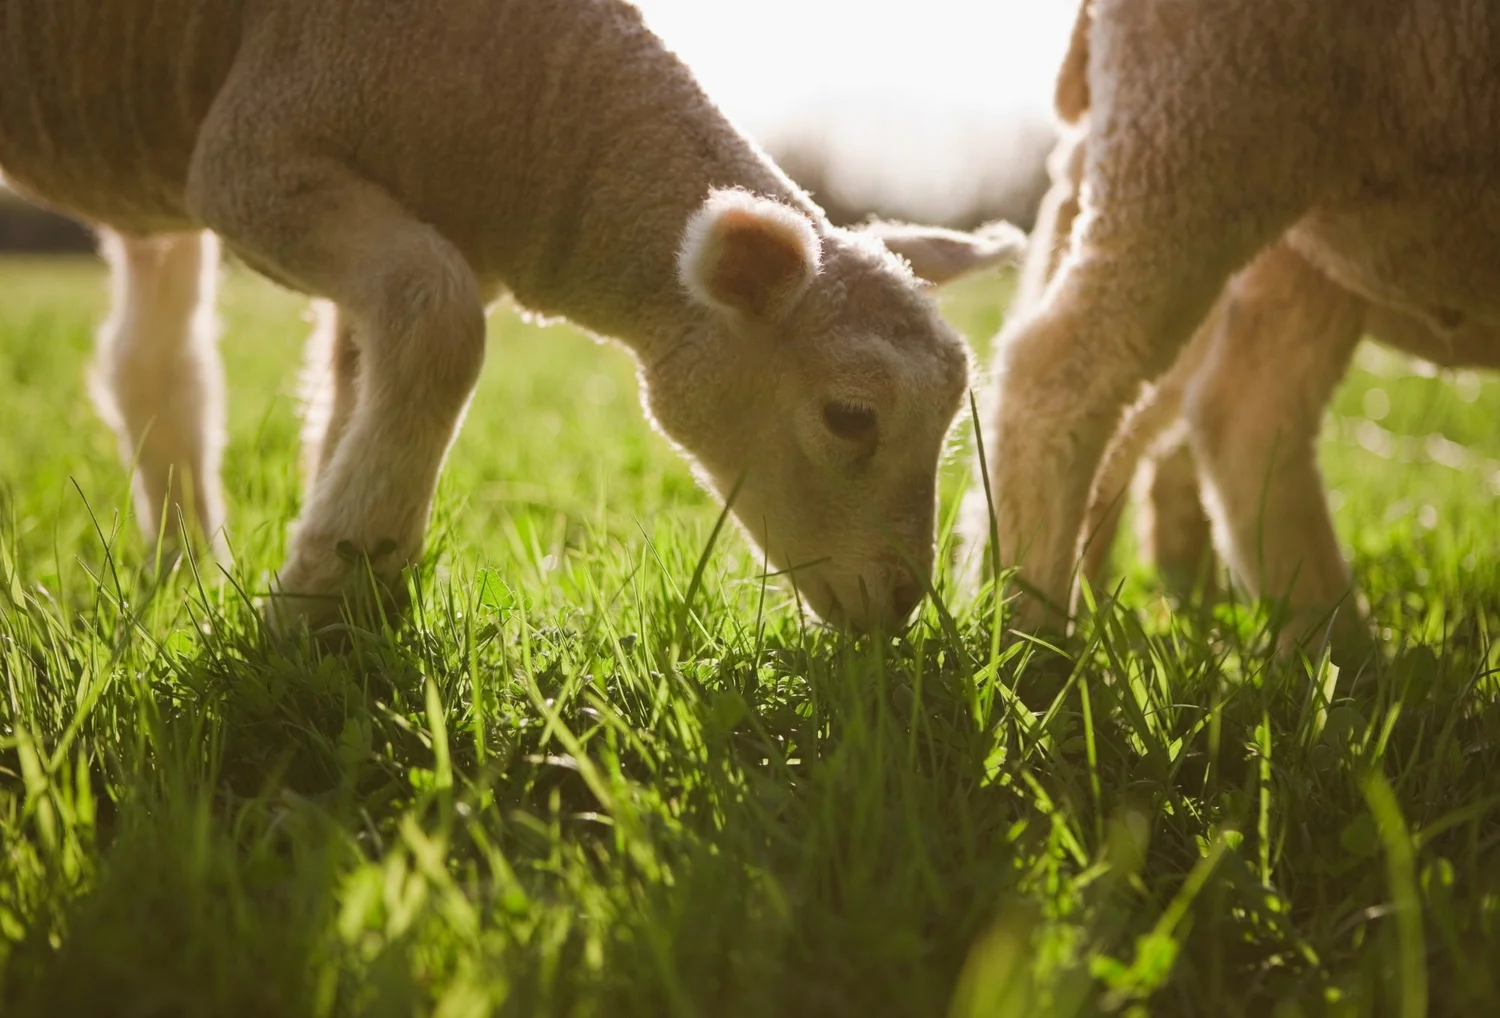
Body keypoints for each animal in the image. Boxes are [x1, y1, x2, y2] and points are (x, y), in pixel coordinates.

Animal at [0, 0, 1025, 635]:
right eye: (849, 415)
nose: (902, 602)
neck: (528, 110)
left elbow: (360, 382)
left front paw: (332, 575)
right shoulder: (257, 155)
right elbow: (440, 321)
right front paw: (333, 592)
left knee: (154, 366)